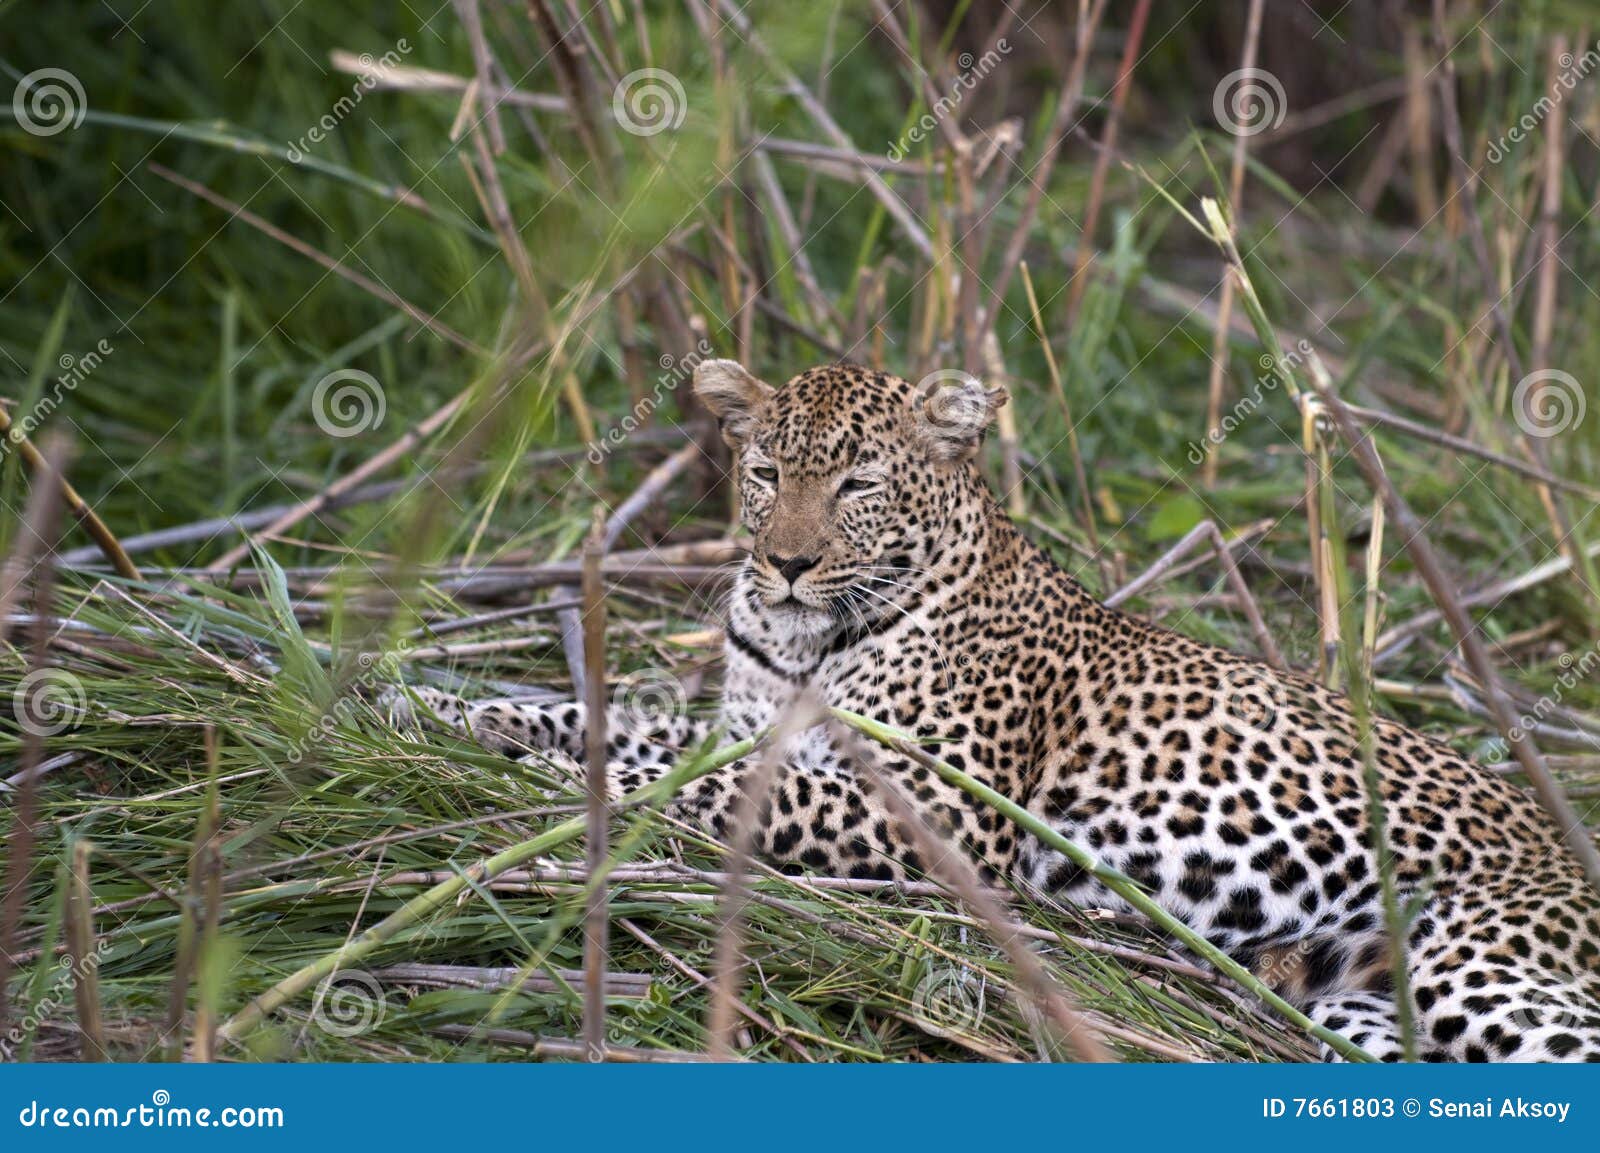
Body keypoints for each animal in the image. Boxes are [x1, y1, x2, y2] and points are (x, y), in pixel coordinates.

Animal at [393, 359, 1600, 1062]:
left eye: (858, 484)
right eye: (767, 469)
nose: (785, 563)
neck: (802, 634)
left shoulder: (936, 808)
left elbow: (703, 787)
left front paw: (554, 787)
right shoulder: (748, 726)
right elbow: (609, 720)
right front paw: (428, 704)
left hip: (1482, 968)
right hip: (1362, 1004)